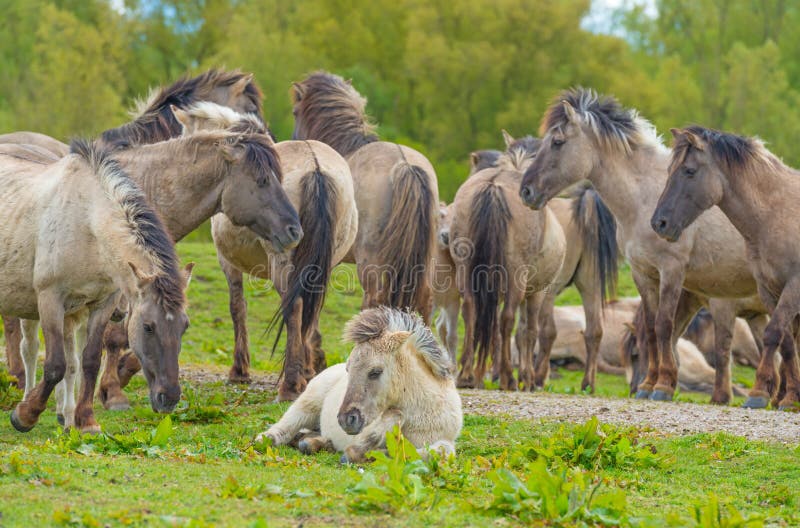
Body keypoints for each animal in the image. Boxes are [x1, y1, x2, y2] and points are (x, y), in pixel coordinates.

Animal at [0, 140, 191, 432]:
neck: (86, 221)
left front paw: (86, 420)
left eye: (184, 326)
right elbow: (55, 365)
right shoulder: (50, 299)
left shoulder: (103, 304)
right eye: (148, 326)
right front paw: (25, 415)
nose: (168, 398)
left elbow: (89, 360)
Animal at [258, 307, 462, 463]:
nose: (346, 420)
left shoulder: (443, 441)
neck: (421, 416)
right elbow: (392, 424)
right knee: (283, 429)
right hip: (308, 404)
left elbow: (439, 451)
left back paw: (316, 443)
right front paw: (358, 452)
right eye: (348, 370)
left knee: (305, 436)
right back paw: (268, 439)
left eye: (375, 372)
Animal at [449, 159, 566, 391]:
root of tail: (494, 185)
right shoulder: (536, 293)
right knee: (508, 320)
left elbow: (494, 331)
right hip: (515, 279)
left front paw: (481, 374)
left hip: (465, 272)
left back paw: (466, 375)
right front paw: (527, 378)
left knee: (470, 310)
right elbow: (528, 332)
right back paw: (508, 378)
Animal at [519, 88, 769, 405]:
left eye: (557, 142)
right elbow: (651, 329)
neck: (645, 197)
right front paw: (648, 386)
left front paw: (663, 387)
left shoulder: (672, 271)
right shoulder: (643, 273)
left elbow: (664, 326)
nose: (525, 191)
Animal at [651, 126, 800, 409]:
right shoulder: (769, 290)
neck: (777, 215)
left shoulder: (793, 286)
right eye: (669, 170)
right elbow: (786, 343)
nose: (659, 223)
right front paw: (788, 397)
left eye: (689, 171)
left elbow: (773, 334)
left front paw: (760, 394)